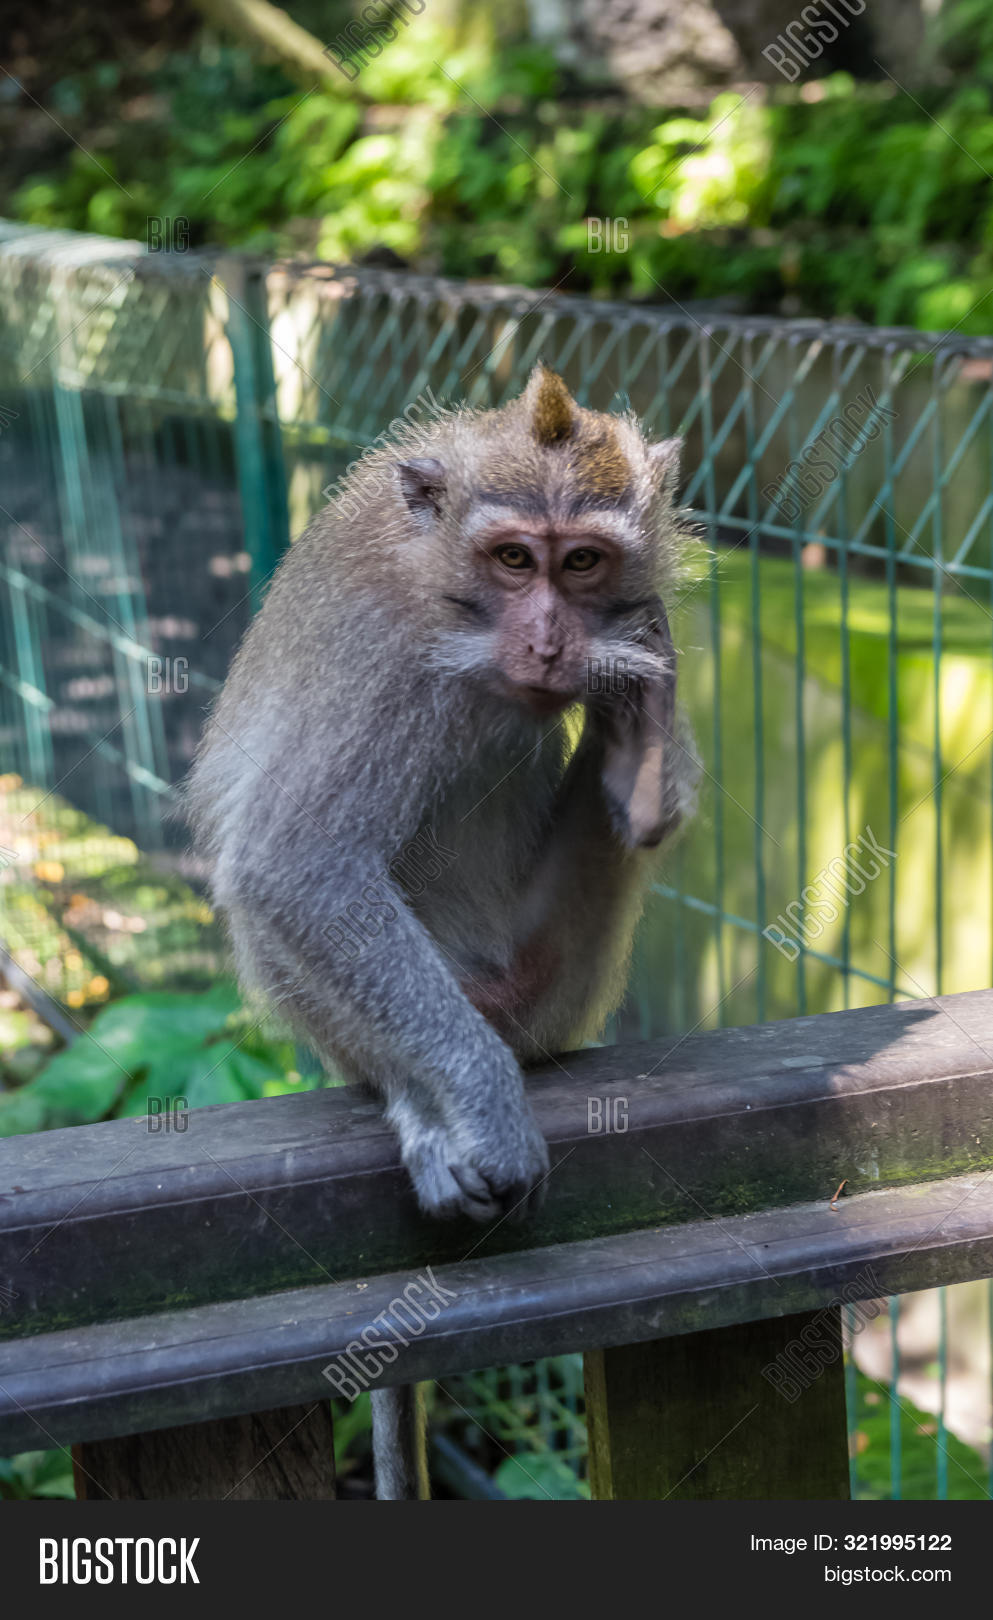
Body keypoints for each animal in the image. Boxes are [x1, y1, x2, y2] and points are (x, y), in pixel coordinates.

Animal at [185, 364, 696, 1497]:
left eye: (581, 561)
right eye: (512, 559)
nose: (550, 640)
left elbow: (650, 800)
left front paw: (646, 737)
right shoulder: (386, 656)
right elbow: (298, 864)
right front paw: (481, 1108)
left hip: (551, 987)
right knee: (278, 904)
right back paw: (423, 1099)